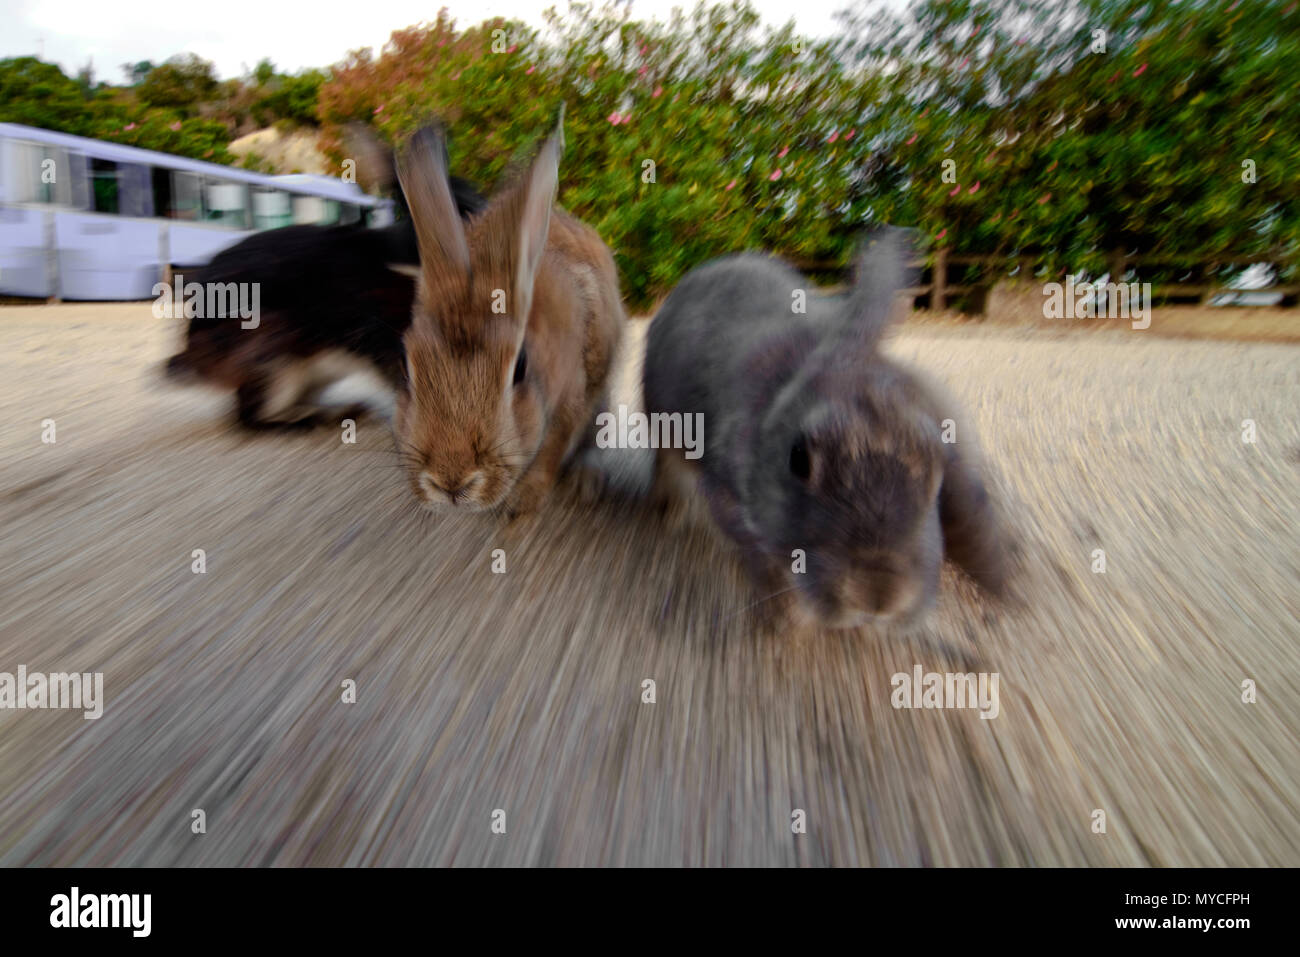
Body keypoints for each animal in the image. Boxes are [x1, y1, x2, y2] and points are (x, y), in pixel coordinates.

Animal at [392, 108, 626, 519]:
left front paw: (523, 501)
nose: (451, 483)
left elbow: (552, 452)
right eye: (406, 368)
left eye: (520, 369)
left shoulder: (574, 400)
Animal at [642, 228, 1010, 629]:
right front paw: (786, 619)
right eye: (798, 459)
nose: (878, 595)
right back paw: (667, 511)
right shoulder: (724, 493)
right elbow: (756, 553)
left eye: (935, 471)